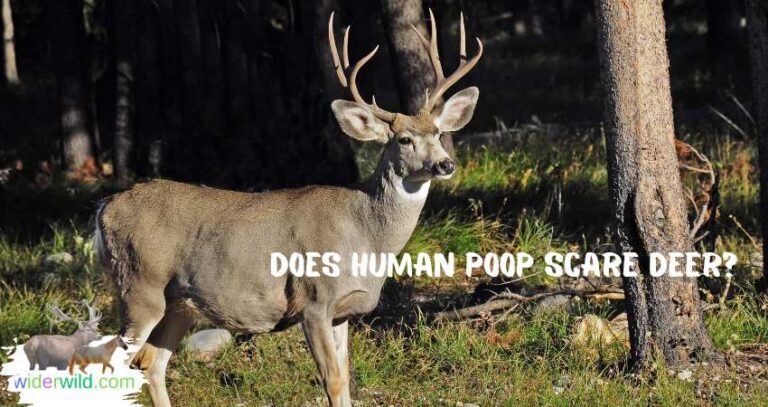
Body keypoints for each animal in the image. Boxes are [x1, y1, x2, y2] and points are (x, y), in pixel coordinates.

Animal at [93, 9, 482, 407]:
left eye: (438, 133)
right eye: (404, 139)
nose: (445, 164)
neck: (367, 238)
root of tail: (104, 209)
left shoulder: (343, 313)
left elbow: (347, 378)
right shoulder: (314, 301)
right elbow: (333, 381)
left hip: (179, 303)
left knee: (151, 364)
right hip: (140, 284)